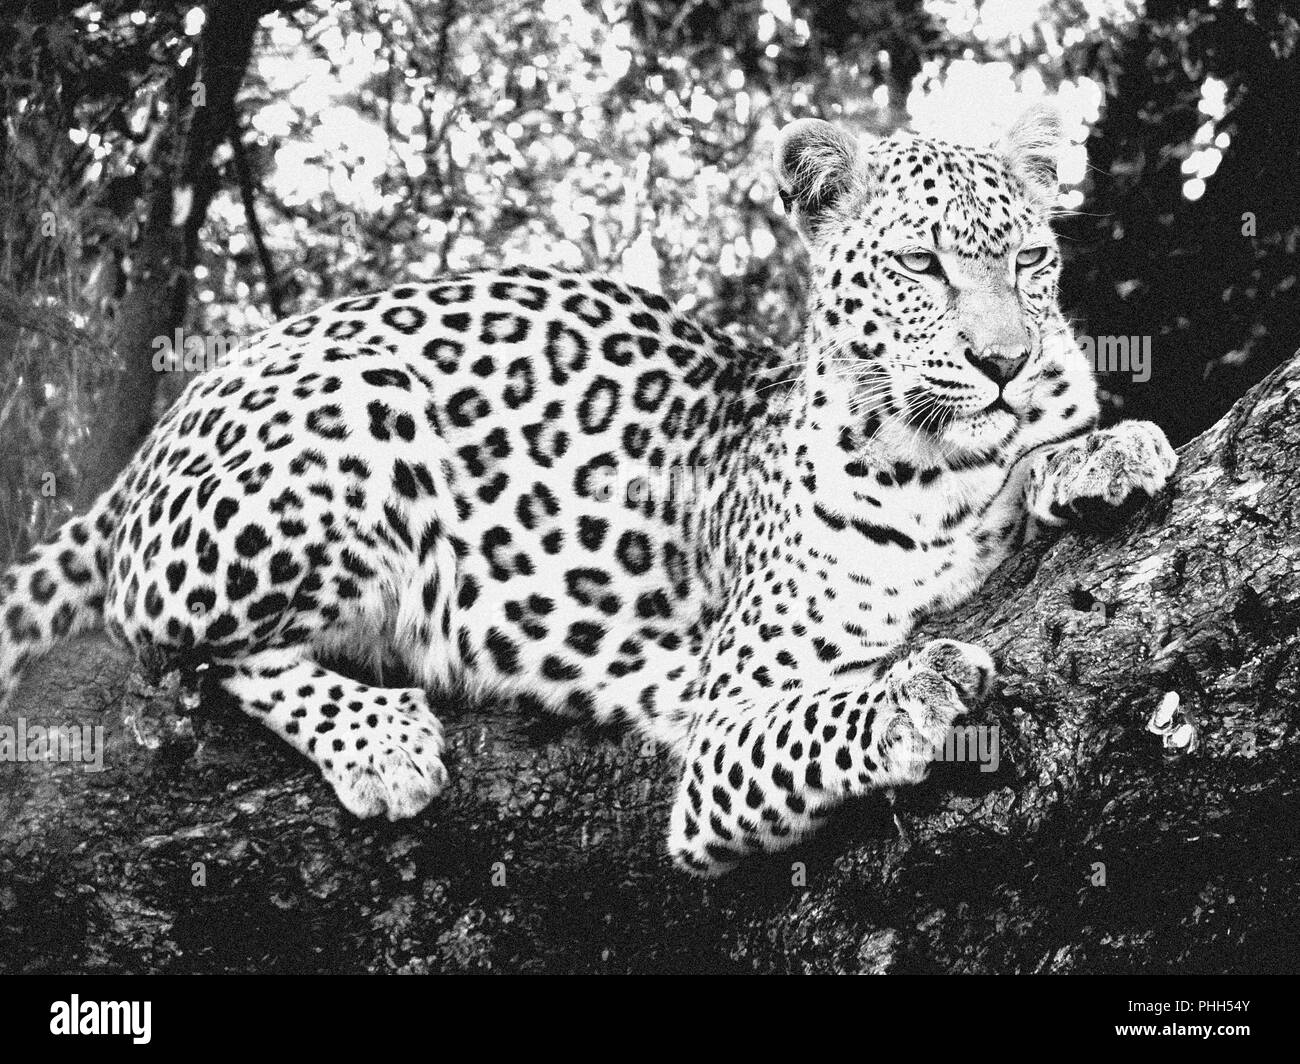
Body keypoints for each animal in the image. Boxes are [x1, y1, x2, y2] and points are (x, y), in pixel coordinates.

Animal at [0, 104, 1176, 875]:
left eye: (1029, 261)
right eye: (922, 265)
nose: (1004, 360)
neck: (940, 466)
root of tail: (173, 415)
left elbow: (1047, 445)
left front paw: (1103, 453)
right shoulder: (722, 724)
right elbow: (813, 717)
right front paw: (913, 693)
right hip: (351, 419)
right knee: (167, 637)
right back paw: (380, 737)